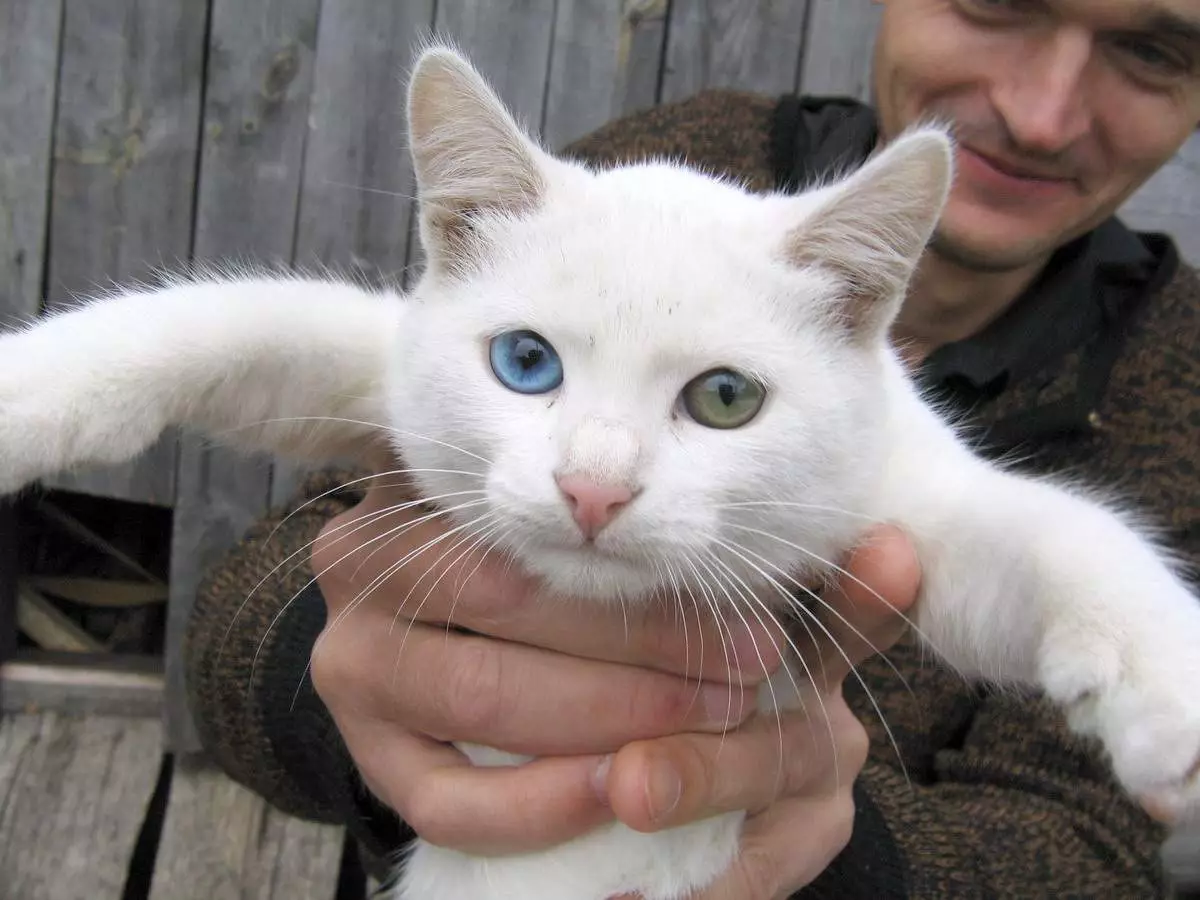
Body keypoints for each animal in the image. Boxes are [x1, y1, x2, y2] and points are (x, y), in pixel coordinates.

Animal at [2, 44, 1200, 900]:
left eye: (727, 398)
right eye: (526, 362)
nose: (594, 488)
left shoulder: (895, 490)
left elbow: (1045, 536)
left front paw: (1167, 694)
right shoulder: (383, 366)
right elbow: (241, 322)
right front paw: (31, 393)